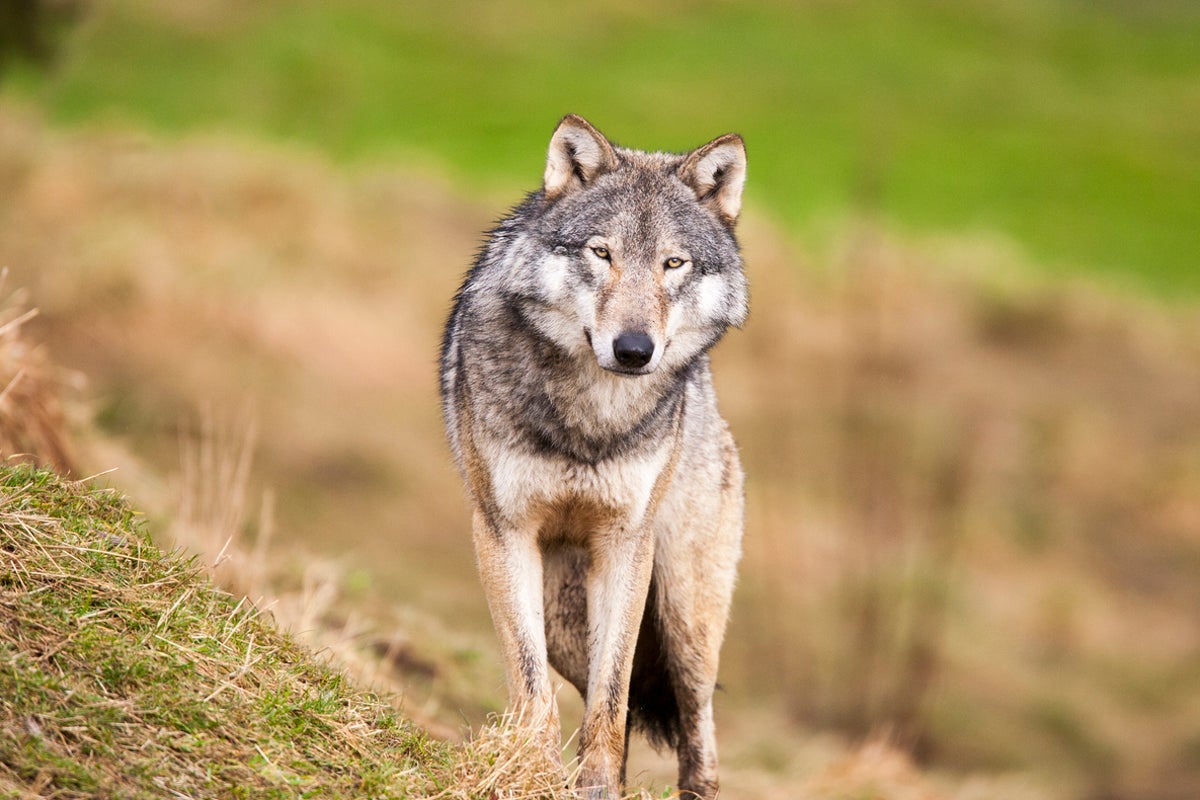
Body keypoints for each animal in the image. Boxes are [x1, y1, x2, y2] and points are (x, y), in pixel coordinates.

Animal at [439, 114, 748, 799]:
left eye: (673, 263)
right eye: (601, 253)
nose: (634, 349)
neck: (592, 418)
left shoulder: (626, 543)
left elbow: (611, 696)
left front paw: (596, 786)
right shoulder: (502, 532)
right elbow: (533, 685)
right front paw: (534, 774)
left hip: (686, 620)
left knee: (698, 733)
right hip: (565, 624)